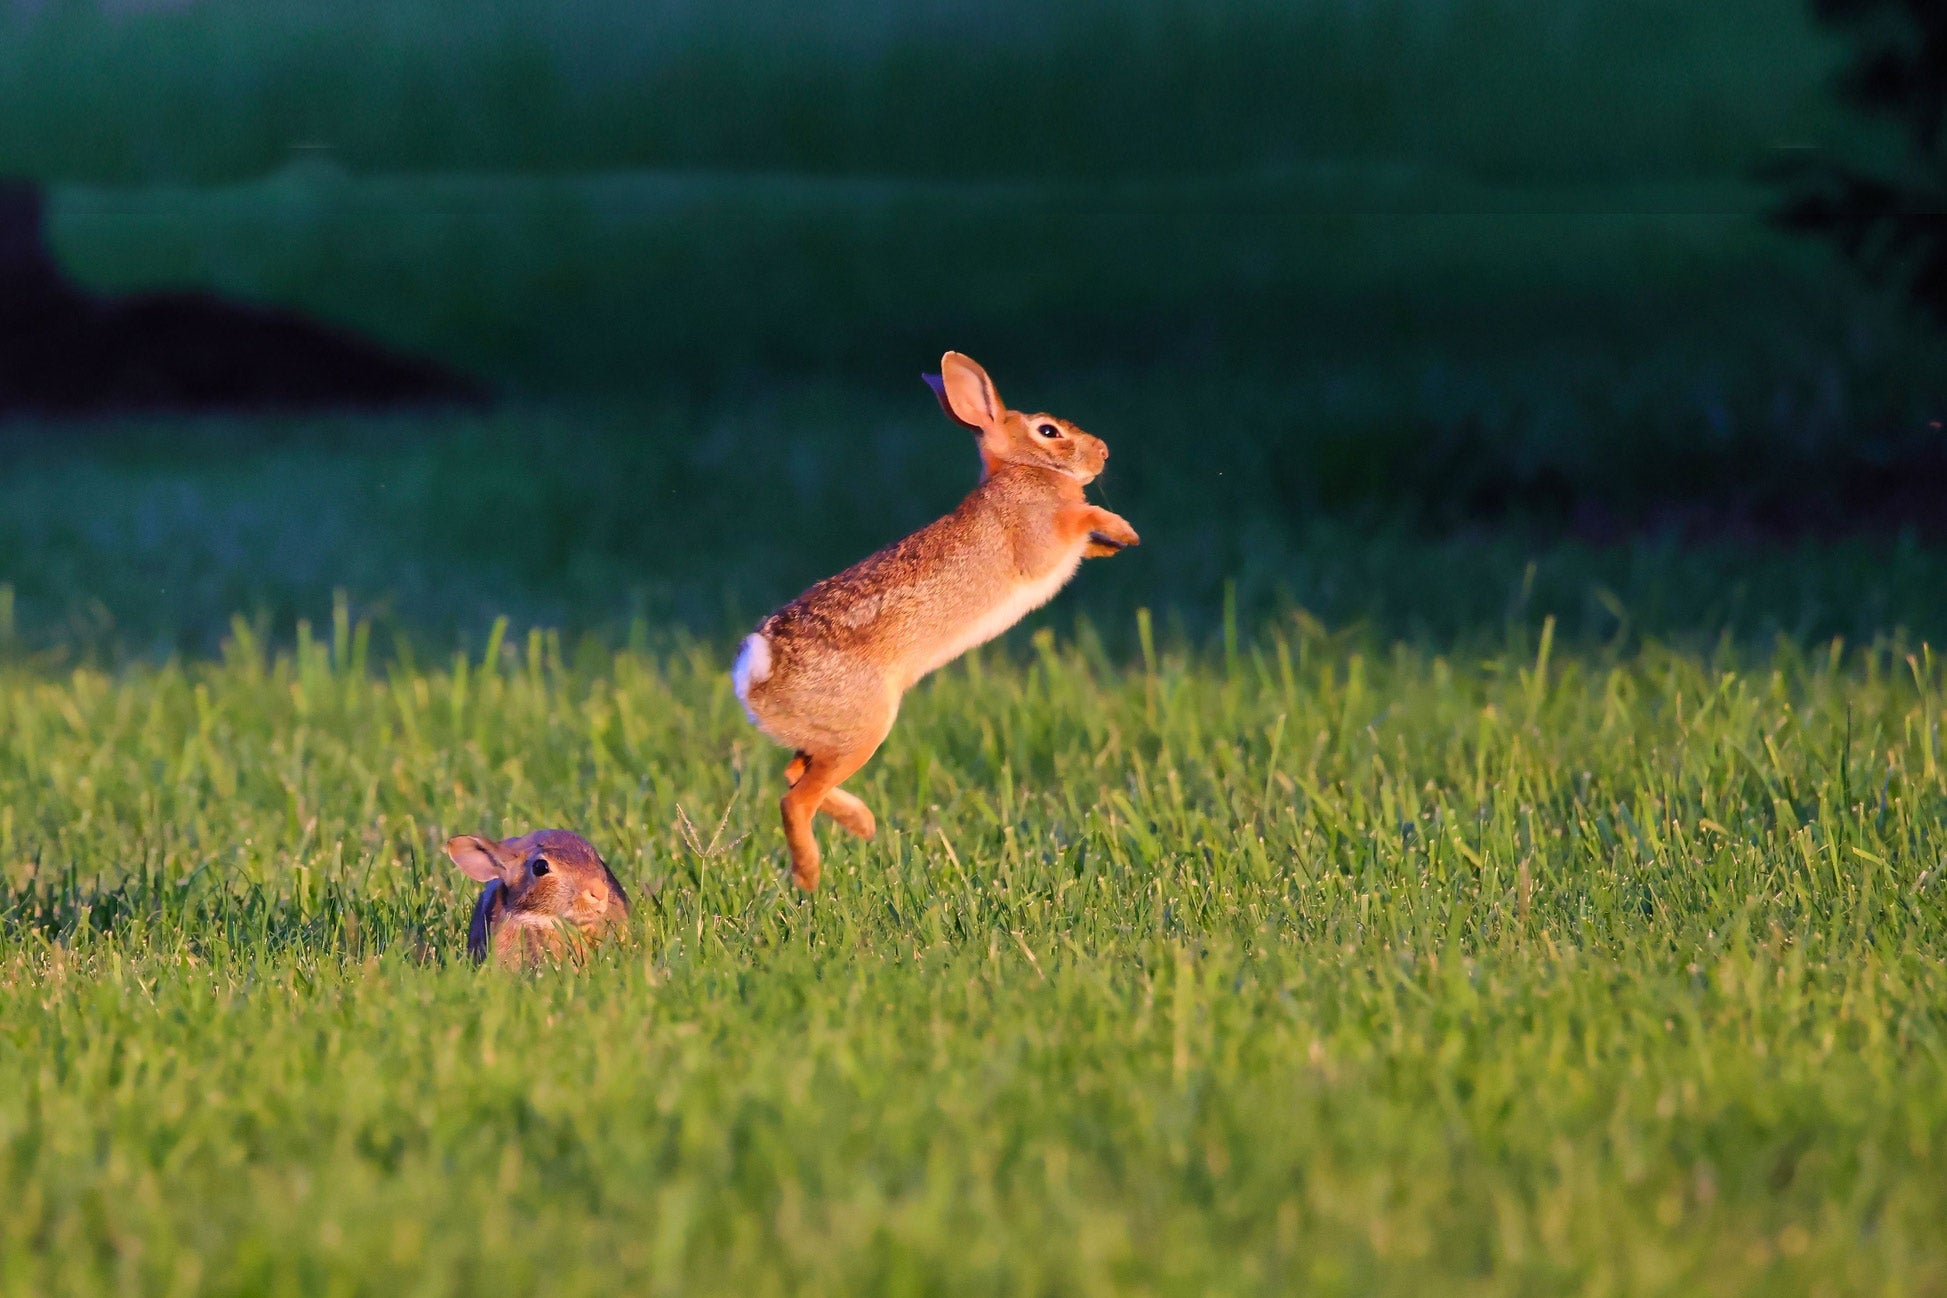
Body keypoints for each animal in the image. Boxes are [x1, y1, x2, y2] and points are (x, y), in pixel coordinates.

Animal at [733, 351, 1139, 890]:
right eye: (1048, 431)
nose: (1104, 452)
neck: (1020, 471)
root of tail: (758, 668)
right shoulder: (1038, 538)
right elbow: (1076, 521)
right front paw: (1122, 530)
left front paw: (1113, 543)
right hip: (863, 729)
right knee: (794, 799)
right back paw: (810, 873)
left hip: (827, 733)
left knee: (794, 773)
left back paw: (863, 825)